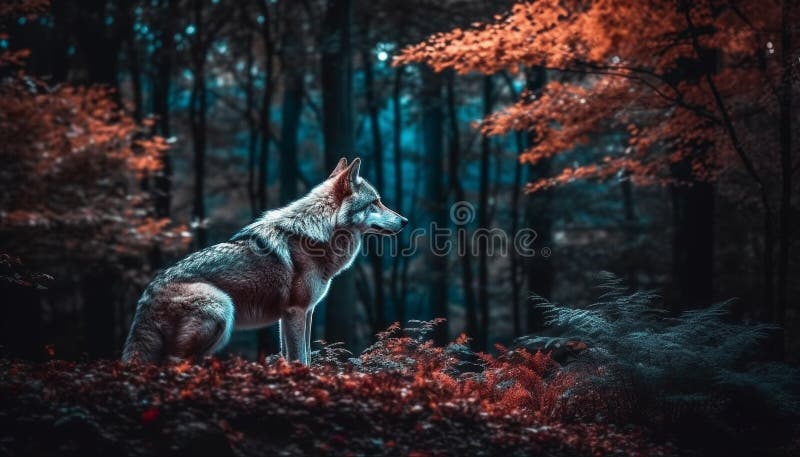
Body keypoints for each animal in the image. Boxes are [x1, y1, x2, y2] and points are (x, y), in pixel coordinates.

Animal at [122, 157, 406, 365]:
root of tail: (145, 297)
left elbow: (301, 355)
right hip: (222, 308)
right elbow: (300, 358)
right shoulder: (296, 311)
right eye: (375, 202)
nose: (404, 221)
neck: (317, 234)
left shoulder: (303, 313)